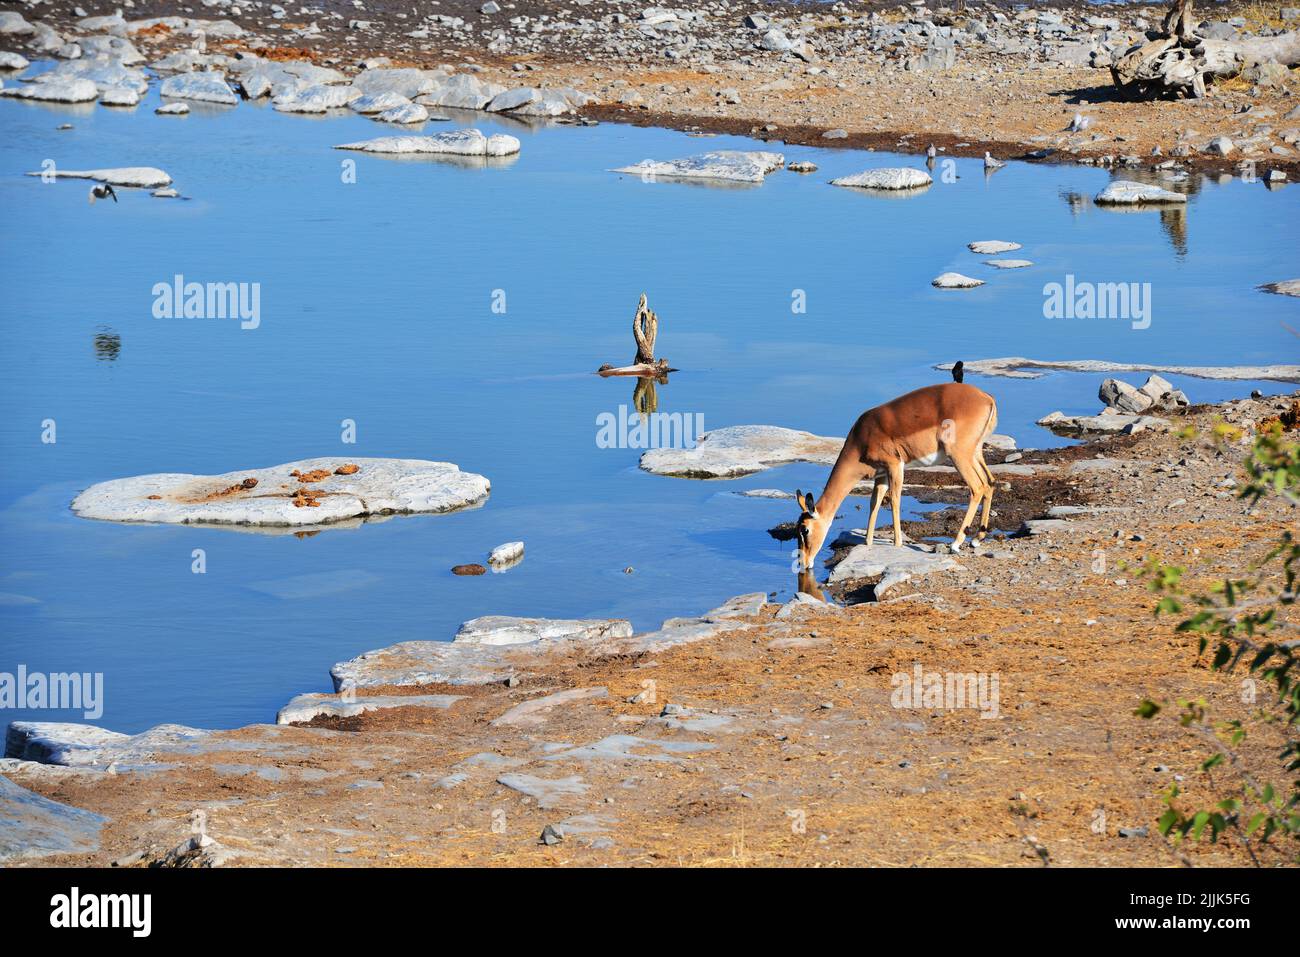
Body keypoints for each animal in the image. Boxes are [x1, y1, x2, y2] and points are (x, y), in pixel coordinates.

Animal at [793, 381, 998, 571]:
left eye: (805, 529)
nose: (803, 563)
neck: (861, 439)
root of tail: (987, 397)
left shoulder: (895, 466)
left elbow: (894, 500)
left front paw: (897, 543)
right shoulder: (881, 474)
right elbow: (874, 502)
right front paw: (867, 542)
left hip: (958, 455)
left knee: (977, 487)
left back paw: (955, 544)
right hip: (975, 453)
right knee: (989, 483)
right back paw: (977, 539)